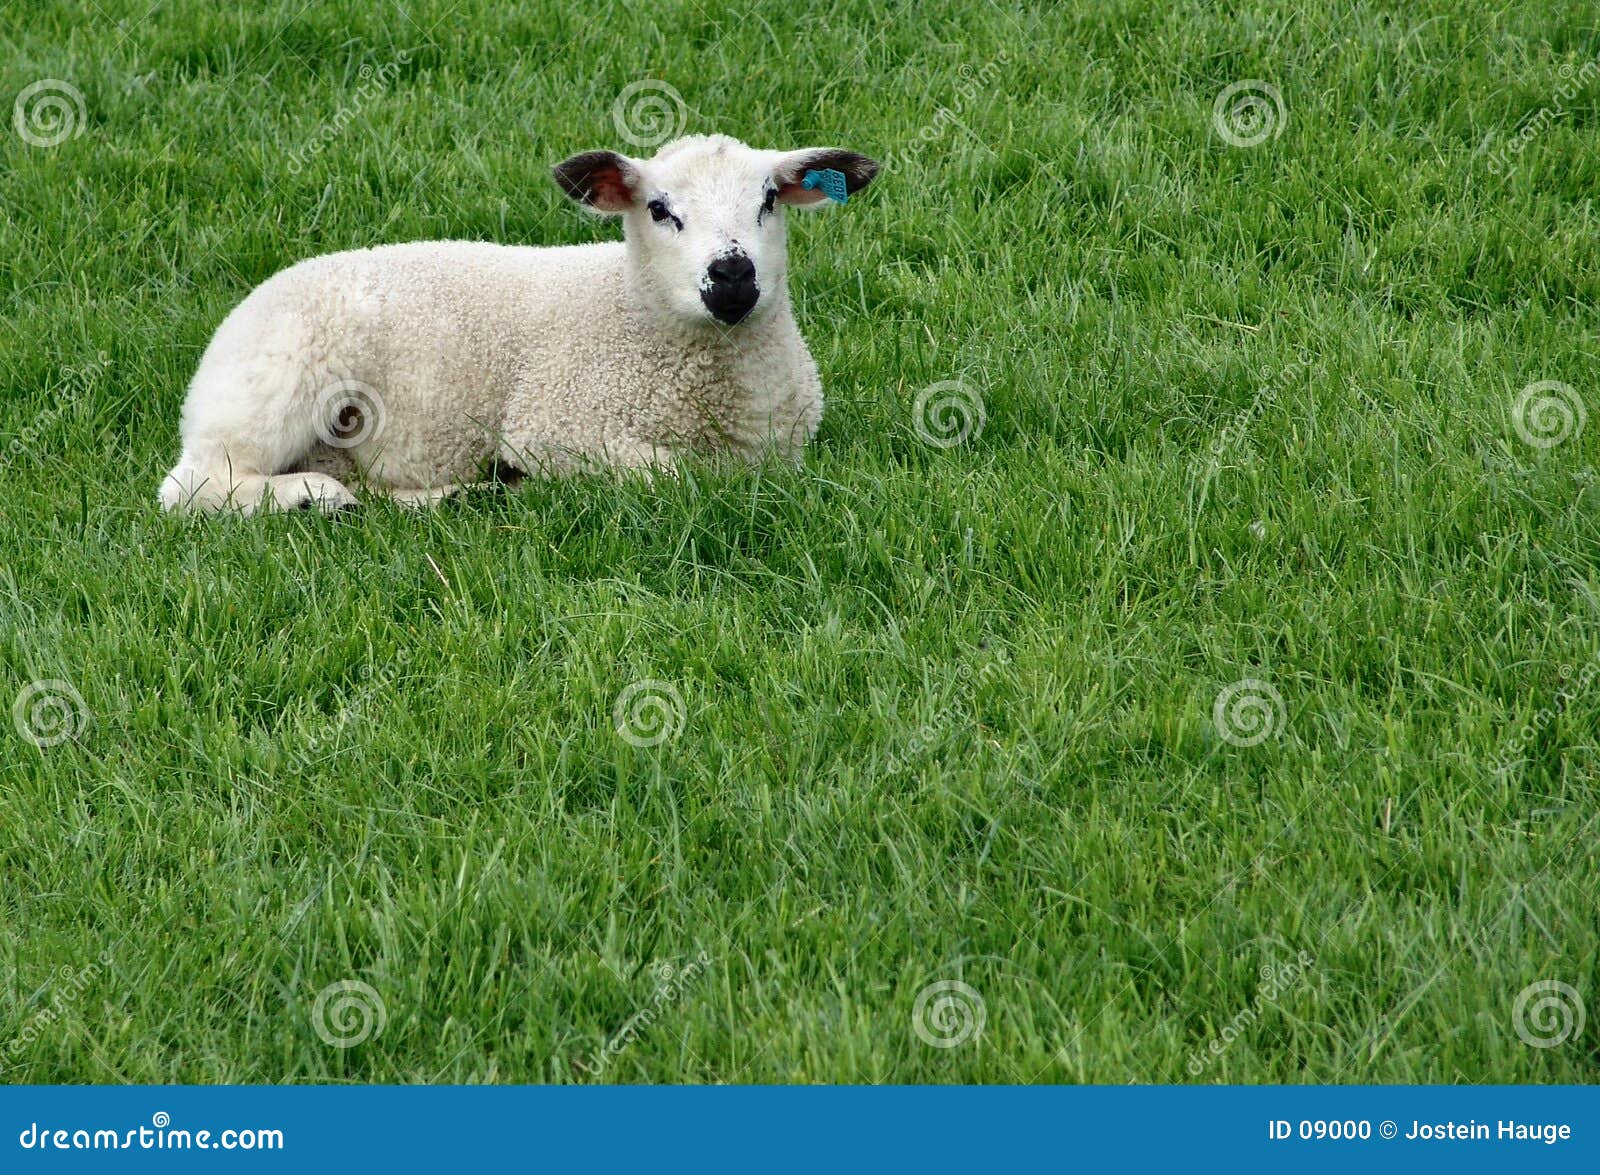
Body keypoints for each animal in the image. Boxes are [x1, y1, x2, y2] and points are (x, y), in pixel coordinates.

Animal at [157, 134, 881, 514]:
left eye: (769, 200)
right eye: (658, 209)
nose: (732, 276)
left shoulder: (783, 455)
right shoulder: (555, 424)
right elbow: (672, 475)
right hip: (276, 384)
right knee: (195, 485)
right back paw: (316, 496)